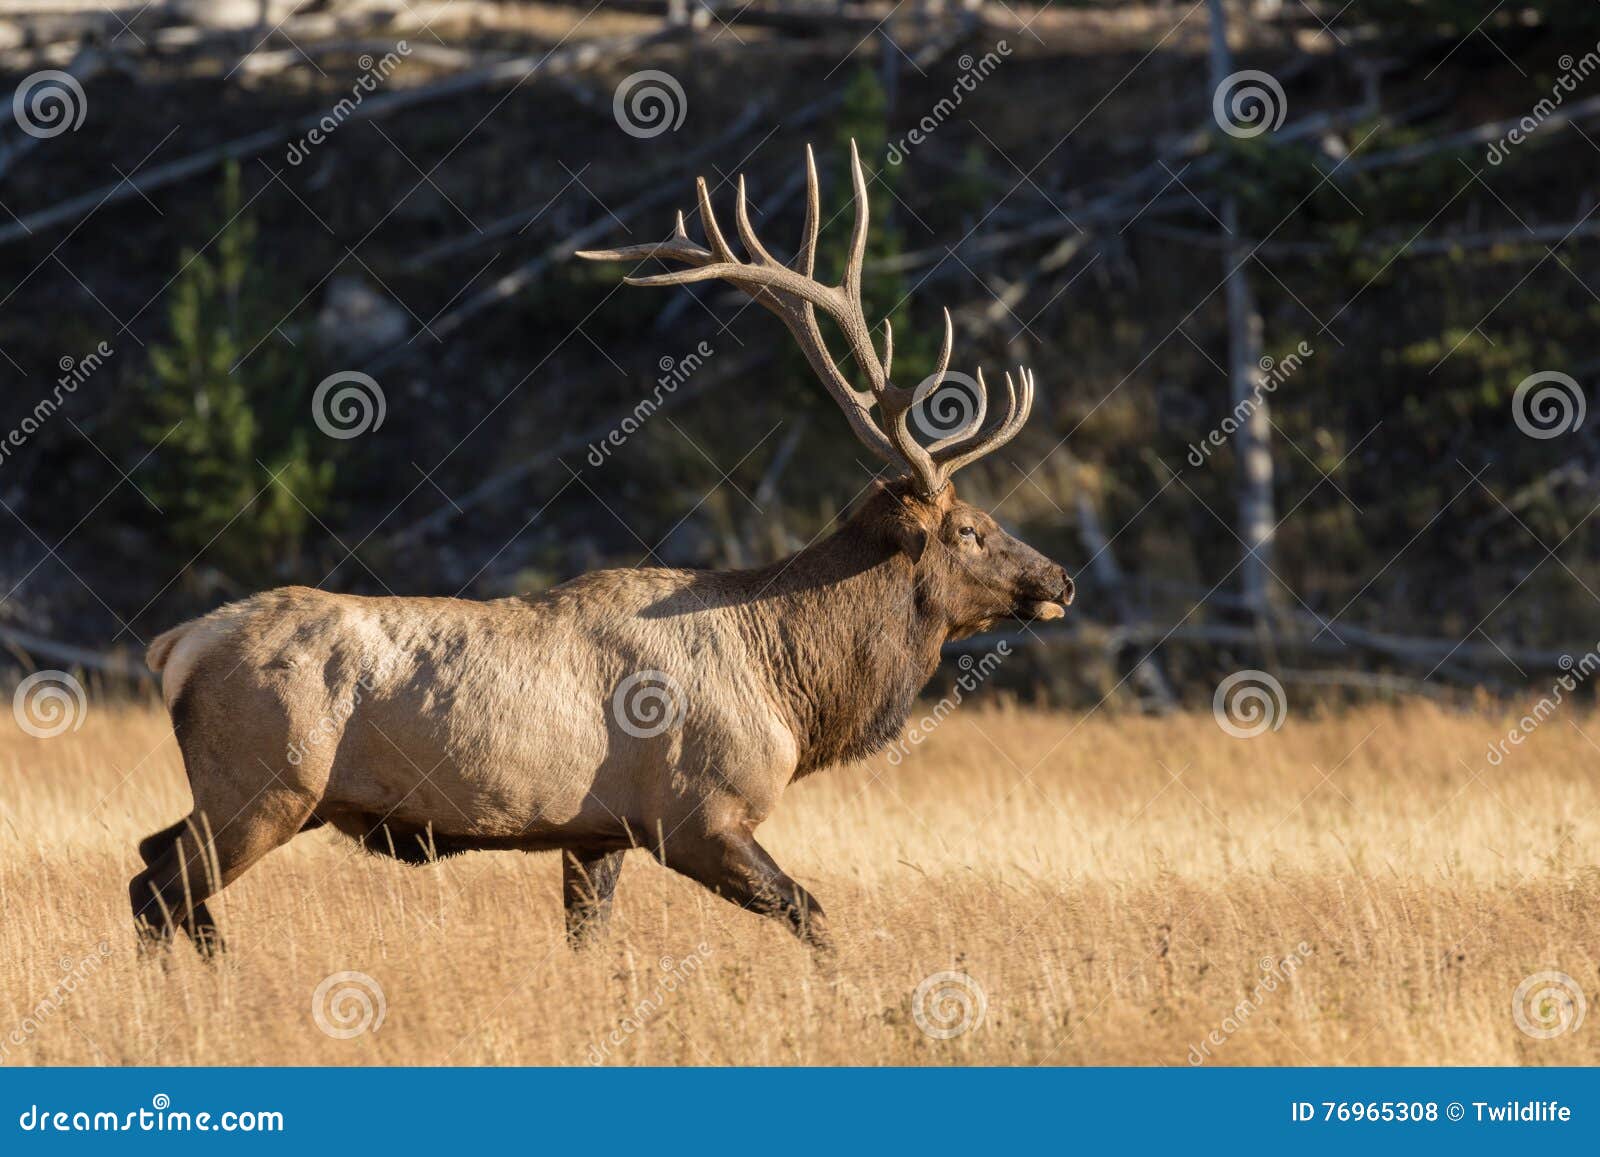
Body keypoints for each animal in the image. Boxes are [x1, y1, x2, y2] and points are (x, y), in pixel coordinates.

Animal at [131, 141, 1074, 961]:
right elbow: (811, 911)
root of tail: (174, 646)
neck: (790, 684)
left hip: (253, 794)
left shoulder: (596, 833)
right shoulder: (697, 814)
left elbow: (591, 942)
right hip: (264, 784)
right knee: (157, 888)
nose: (1061, 576)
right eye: (969, 529)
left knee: (152, 860)